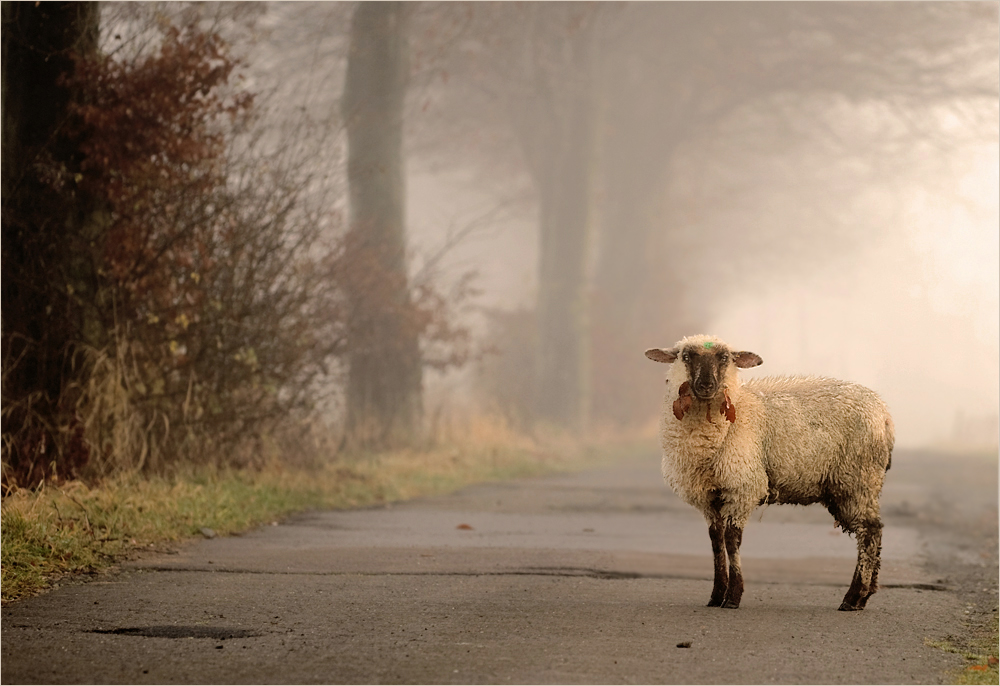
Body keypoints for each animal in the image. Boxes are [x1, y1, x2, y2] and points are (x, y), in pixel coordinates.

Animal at [644, 334, 894, 611]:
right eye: (686, 357)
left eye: (724, 358)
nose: (706, 385)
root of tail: (884, 413)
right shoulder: (708, 496)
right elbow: (715, 541)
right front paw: (716, 595)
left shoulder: (743, 487)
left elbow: (732, 539)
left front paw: (733, 597)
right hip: (850, 485)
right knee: (873, 531)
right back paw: (864, 595)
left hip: (858, 479)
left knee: (869, 532)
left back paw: (853, 598)